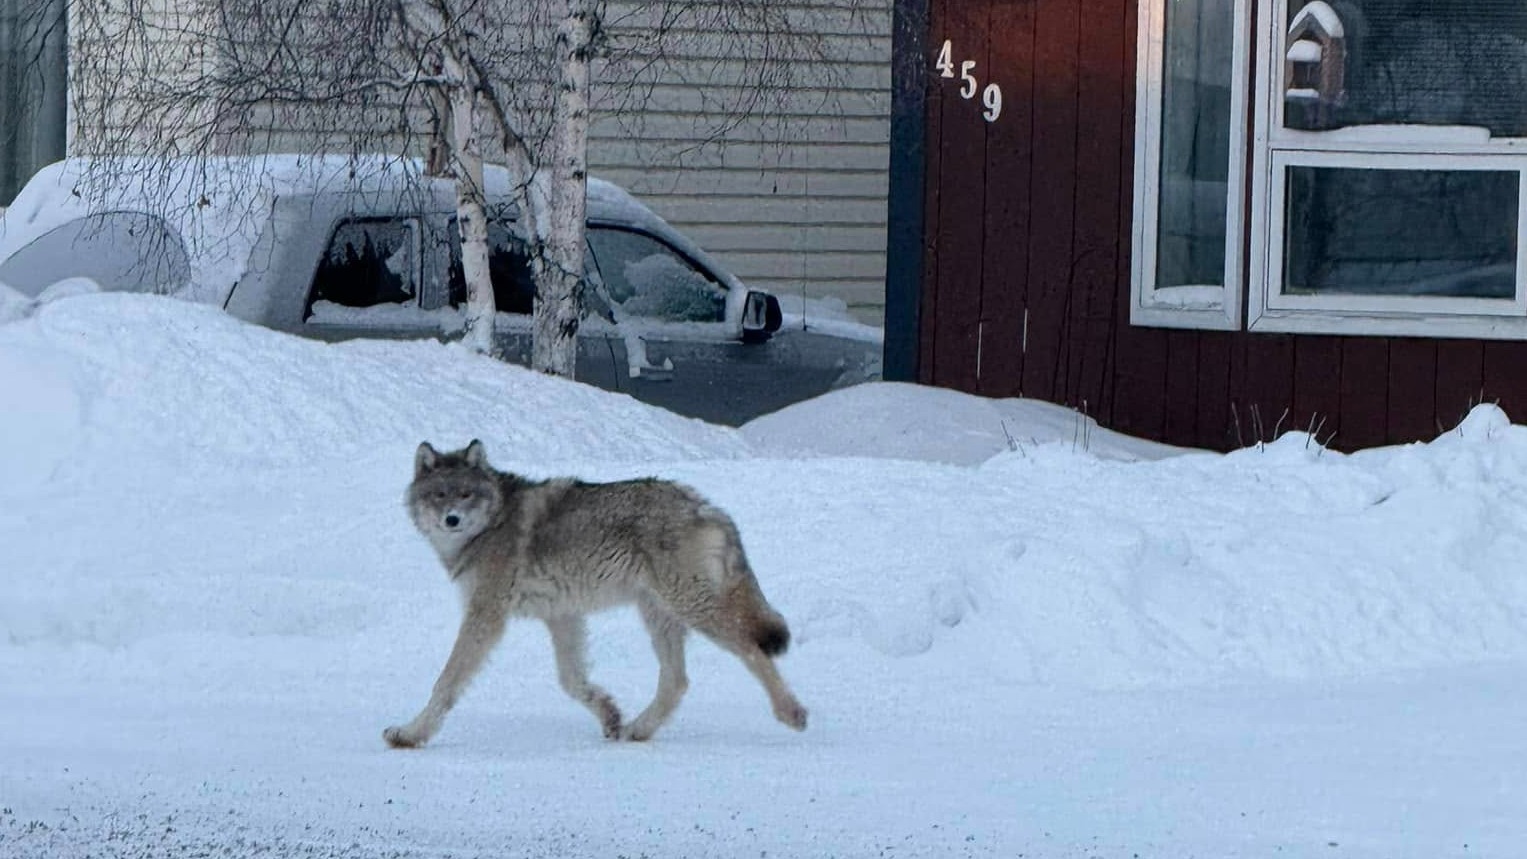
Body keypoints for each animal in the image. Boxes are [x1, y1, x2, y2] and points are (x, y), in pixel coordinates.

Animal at [383, 439, 807, 748]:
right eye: (439, 495)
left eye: (465, 494)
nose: (451, 520)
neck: (491, 524)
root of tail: (707, 507)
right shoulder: (561, 616)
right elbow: (571, 681)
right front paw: (610, 716)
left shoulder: (486, 615)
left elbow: (446, 682)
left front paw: (410, 734)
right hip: (659, 615)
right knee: (677, 681)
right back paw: (637, 729)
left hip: (691, 608)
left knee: (751, 650)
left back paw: (792, 713)